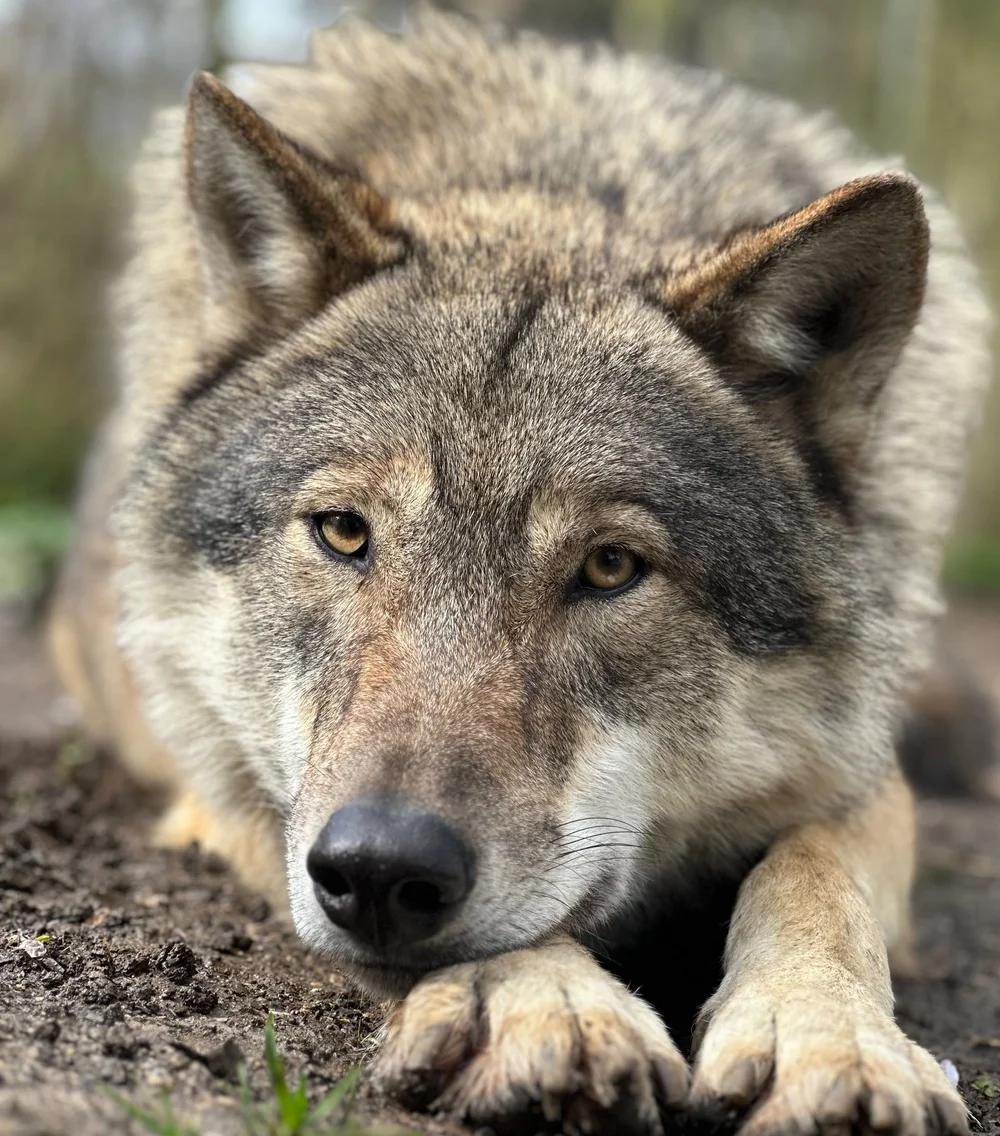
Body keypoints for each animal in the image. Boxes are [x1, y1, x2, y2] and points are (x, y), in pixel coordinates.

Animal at [50, 7, 994, 1134]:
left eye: (610, 566)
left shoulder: (857, 771)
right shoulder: (229, 798)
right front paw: (543, 1003)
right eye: (343, 532)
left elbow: (819, 866)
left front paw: (830, 1035)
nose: (380, 870)